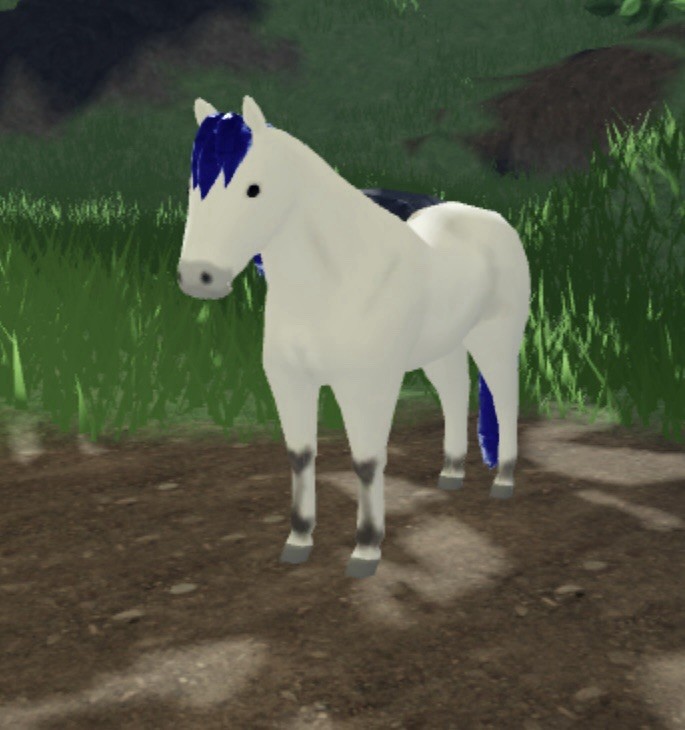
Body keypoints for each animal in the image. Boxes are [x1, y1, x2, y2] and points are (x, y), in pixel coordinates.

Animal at [177, 95, 531, 579]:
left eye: (253, 189)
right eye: (195, 185)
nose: (200, 277)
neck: (335, 278)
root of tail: (495, 220)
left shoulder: (367, 386)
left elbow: (365, 462)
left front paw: (366, 550)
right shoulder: (290, 383)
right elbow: (300, 456)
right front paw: (298, 540)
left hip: (494, 339)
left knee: (506, 397)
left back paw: (504, 480)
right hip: (442, 347)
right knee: (455, 393)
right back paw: (452, 474)